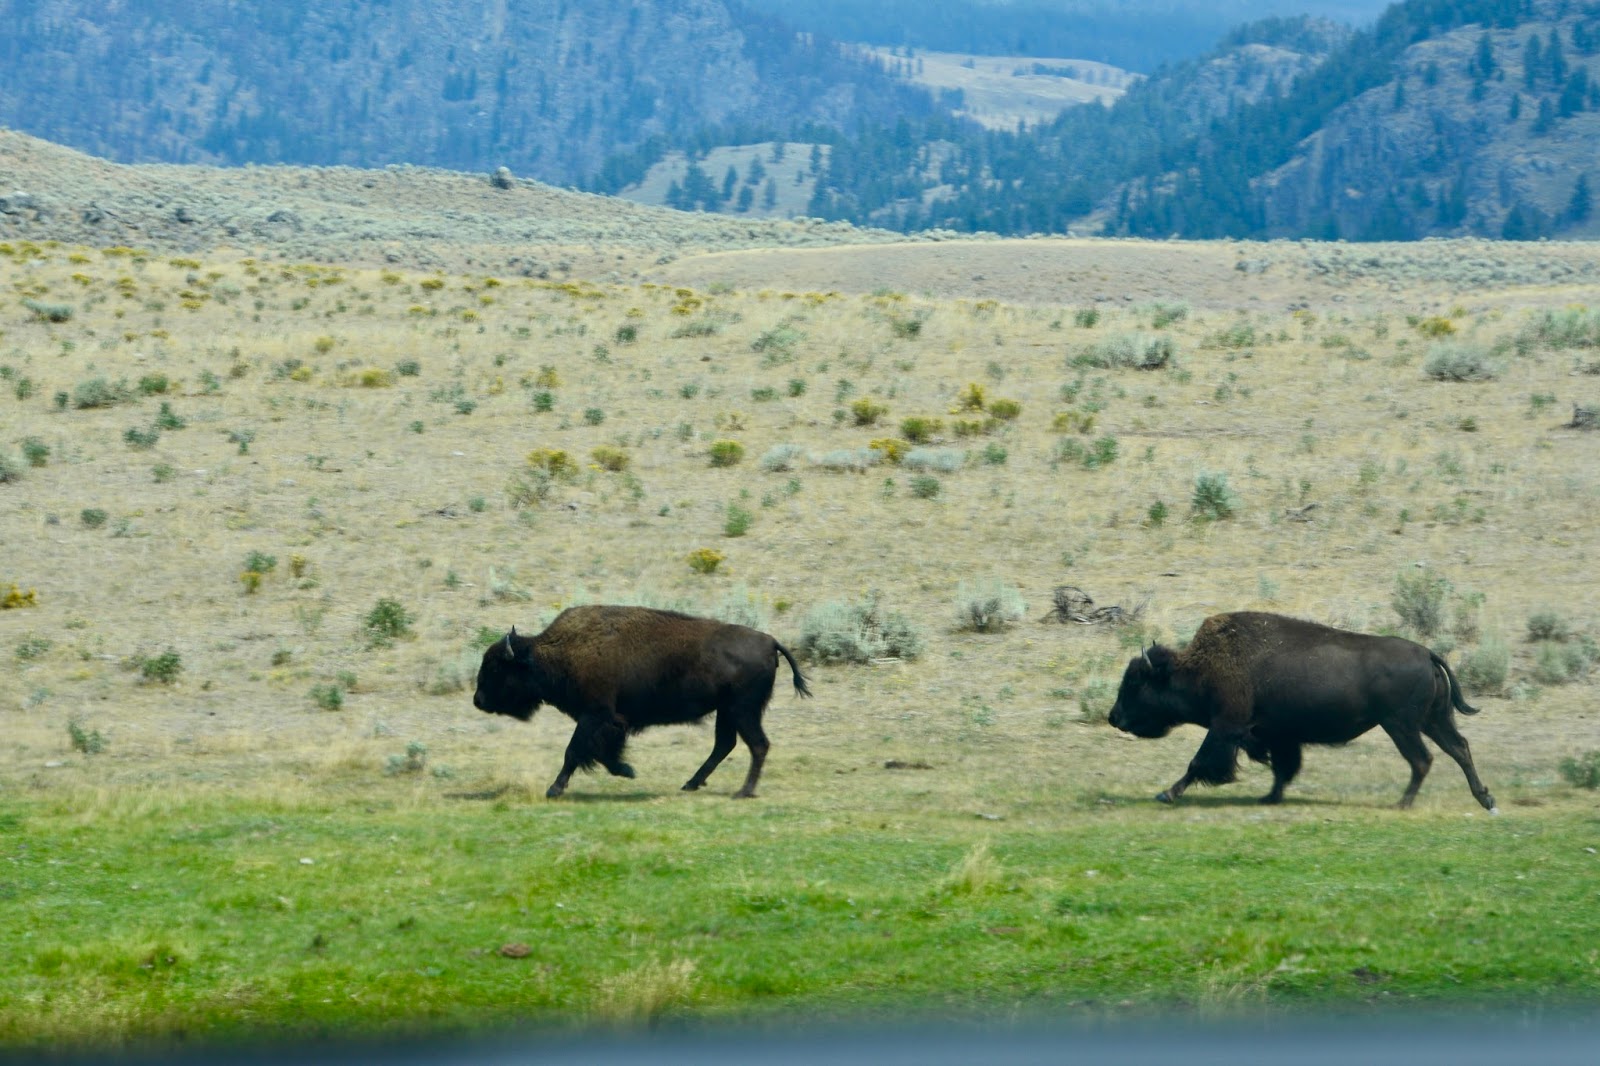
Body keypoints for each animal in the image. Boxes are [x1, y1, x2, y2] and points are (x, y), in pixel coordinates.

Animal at [473, 605, 810, 798]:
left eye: (495, 668)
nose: (478, 700)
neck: (557, 652)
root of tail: (770, 641)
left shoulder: (595, 715)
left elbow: (574, 751)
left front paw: (555, 789)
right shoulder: (610, 720)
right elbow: (601, 754)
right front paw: (627, 770)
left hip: (742, 710)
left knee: (757, 745)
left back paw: (743, 791)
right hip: (726, 712)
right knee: (725, 745)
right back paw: (691, 784)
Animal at [1107, 611, 1497, 812]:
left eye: (1136, 684)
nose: (1114, 717)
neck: (1200, 667)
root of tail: (1427, 653)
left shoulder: (1226, 727)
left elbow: (1198, 762)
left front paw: (1167, 793)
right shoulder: (1277, 736)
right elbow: (1283, 767)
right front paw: (1270, 797)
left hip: (1401, 725)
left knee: (1422, 759)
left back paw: (1403, 803)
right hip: (1432, 721)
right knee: (1459, 748)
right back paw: (1485, 798)